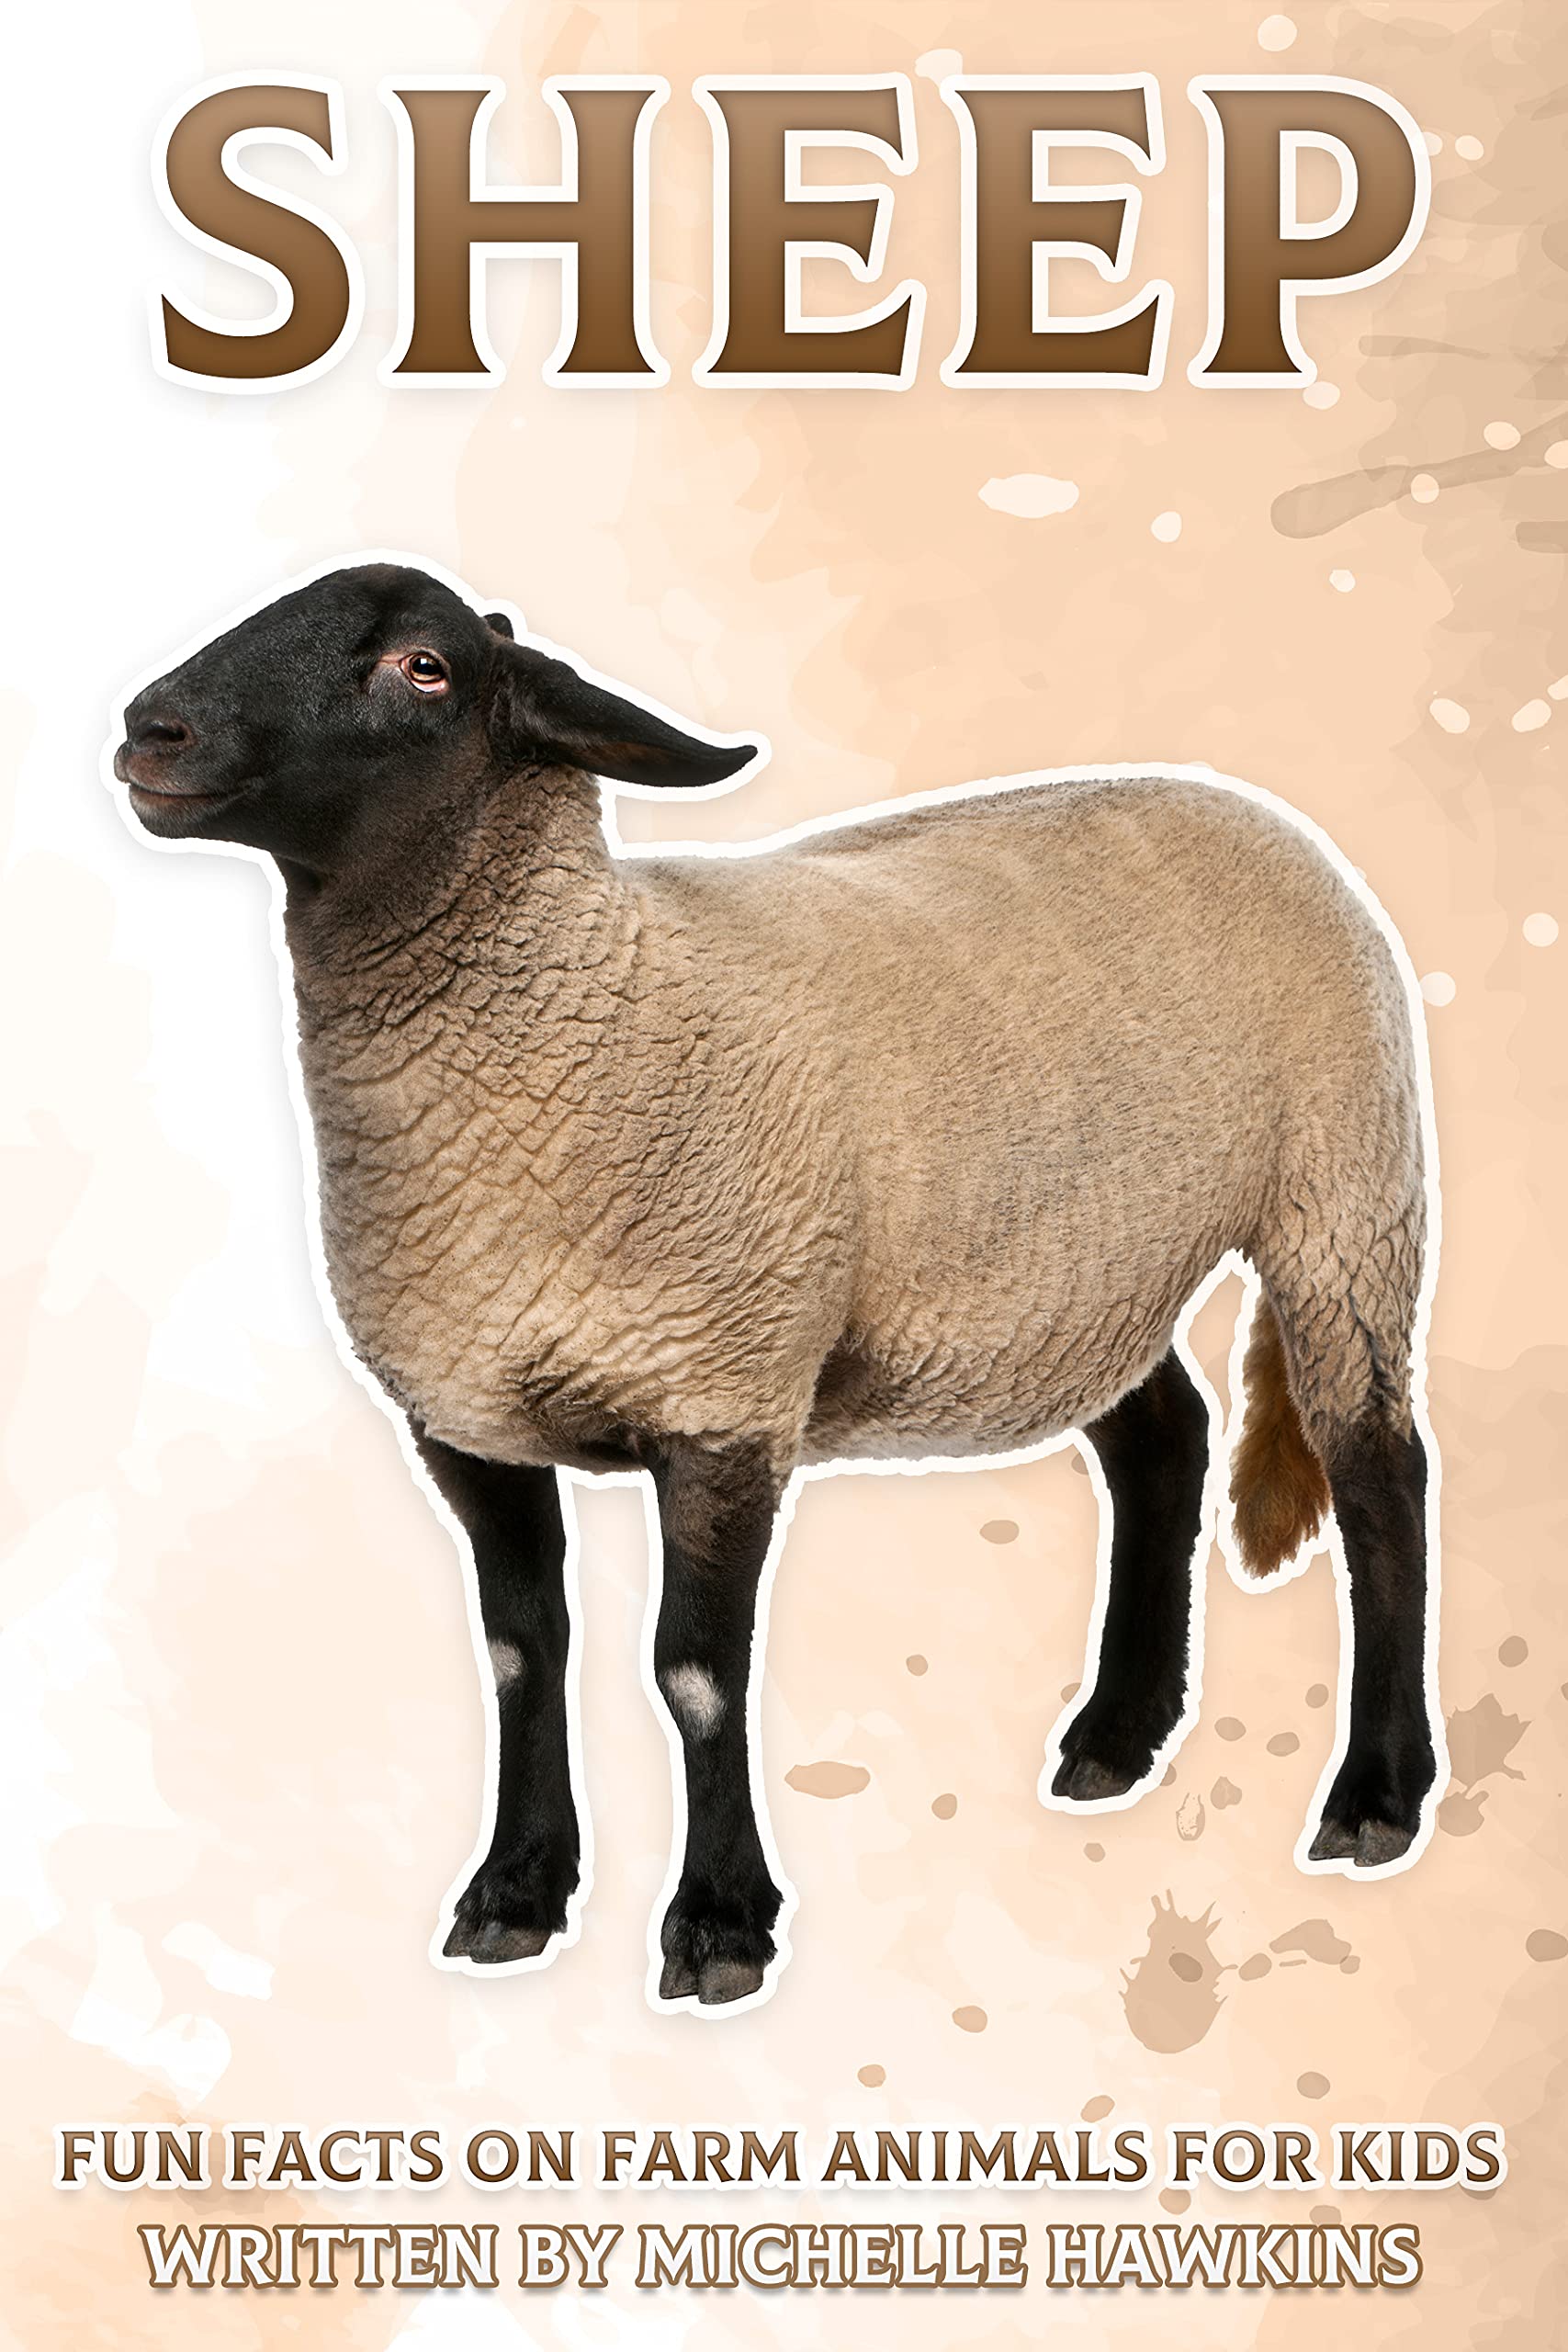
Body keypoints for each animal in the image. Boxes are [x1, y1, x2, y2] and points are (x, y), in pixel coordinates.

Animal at [113, 559, 1439, 2008]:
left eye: (424, 667)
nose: (149, 731)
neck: (589, 1005)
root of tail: (1238, 799)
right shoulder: (467, 1416)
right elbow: (522, 1654)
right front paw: (514, 1891)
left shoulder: (725, 1394)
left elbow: (694, 1672)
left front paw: (718, 1924)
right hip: (1082, 1270)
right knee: (1163, 1443)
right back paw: (1114, 1737)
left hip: (1343, 1199)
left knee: (1380, 1478)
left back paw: (1376, 1796)